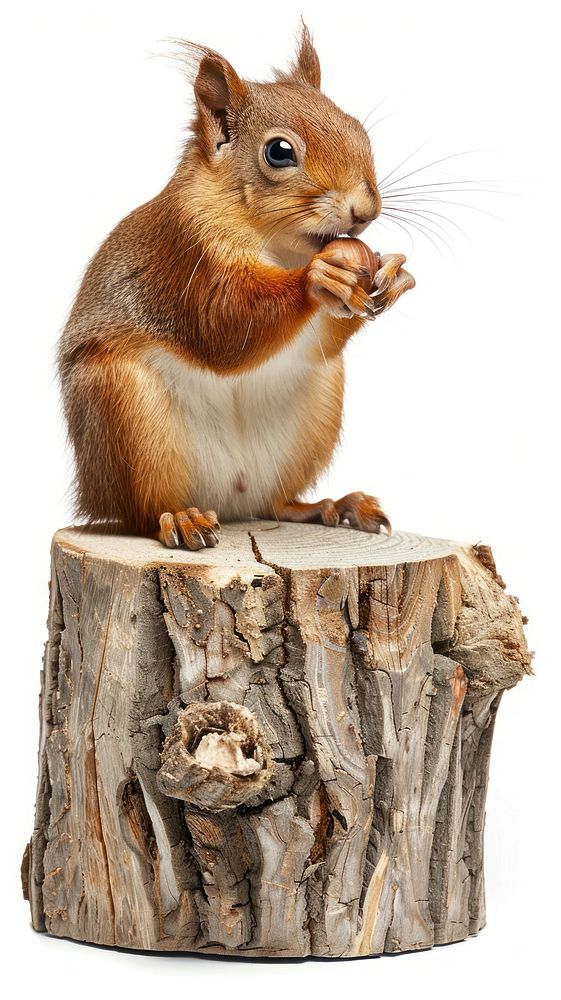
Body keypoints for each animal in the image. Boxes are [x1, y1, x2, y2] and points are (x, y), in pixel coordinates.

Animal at [58, 23, 415, 550]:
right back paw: (179, 518)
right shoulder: (187, 253)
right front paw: (318, 278)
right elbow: (225, 326)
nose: (364, 210)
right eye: (279, 152)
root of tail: (227, 503)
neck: (279, 245)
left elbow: (324, 339)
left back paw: (333, 506)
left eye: (358, 129)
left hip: (313, 417)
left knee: (276, 503)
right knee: (142, 511)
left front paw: (394, 272)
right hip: (122, 412)